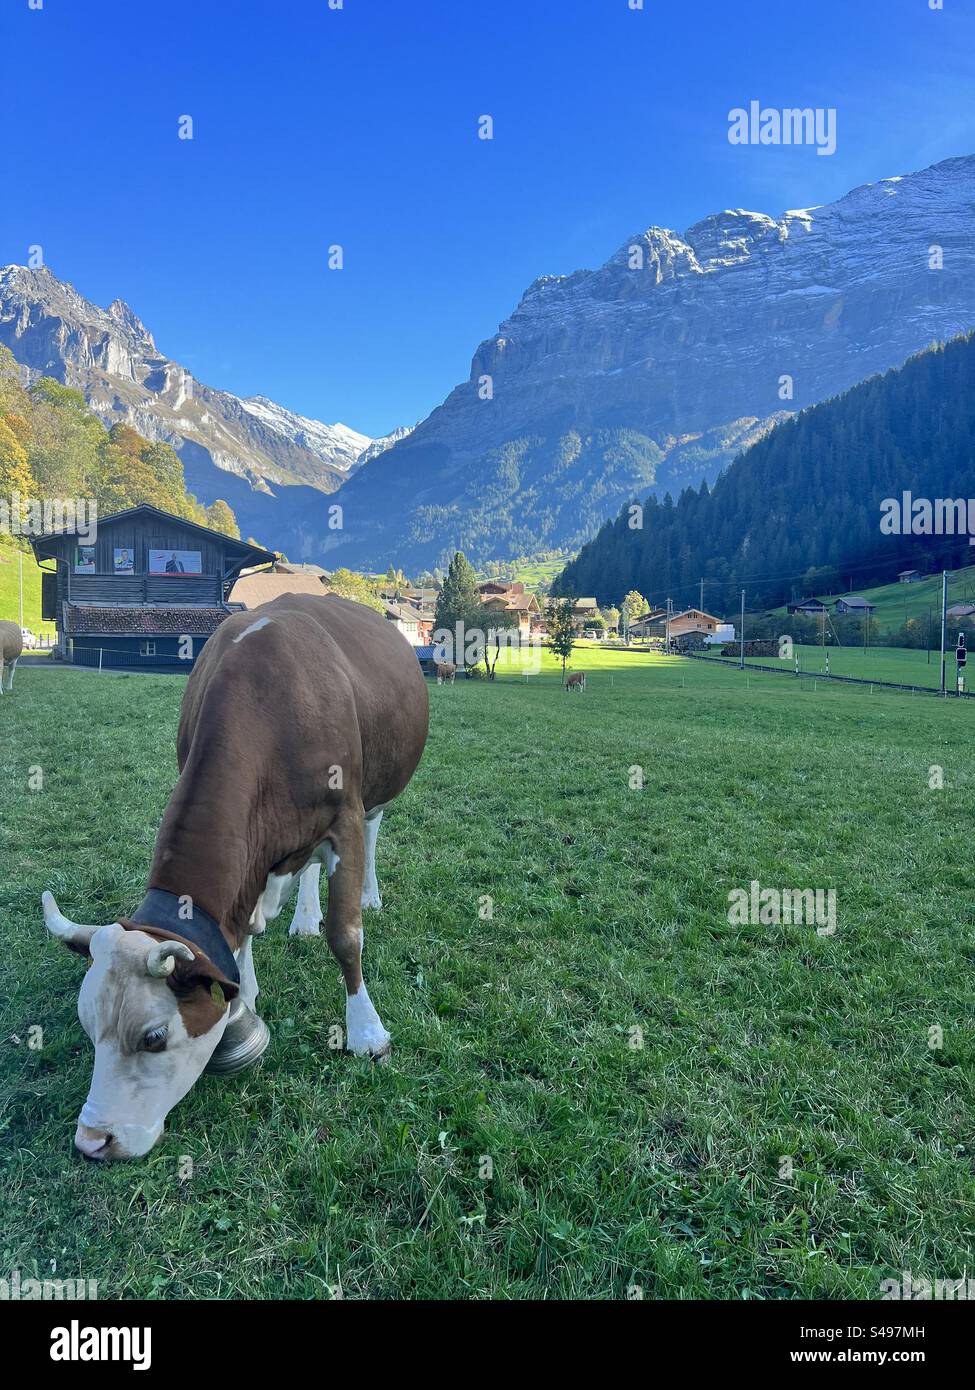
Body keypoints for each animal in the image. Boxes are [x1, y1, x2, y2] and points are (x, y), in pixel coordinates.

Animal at [41, 593, 429, 1161]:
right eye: (87, 1027)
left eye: (154, 1037)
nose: (94, 1140)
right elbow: (241, 925)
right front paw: (245, 991)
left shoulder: (346, 816)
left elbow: (346, 935)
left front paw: (366, 1033)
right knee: (307, 871)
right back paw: (302, 917)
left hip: (380, 788)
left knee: (374, 834)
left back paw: (368, 896)